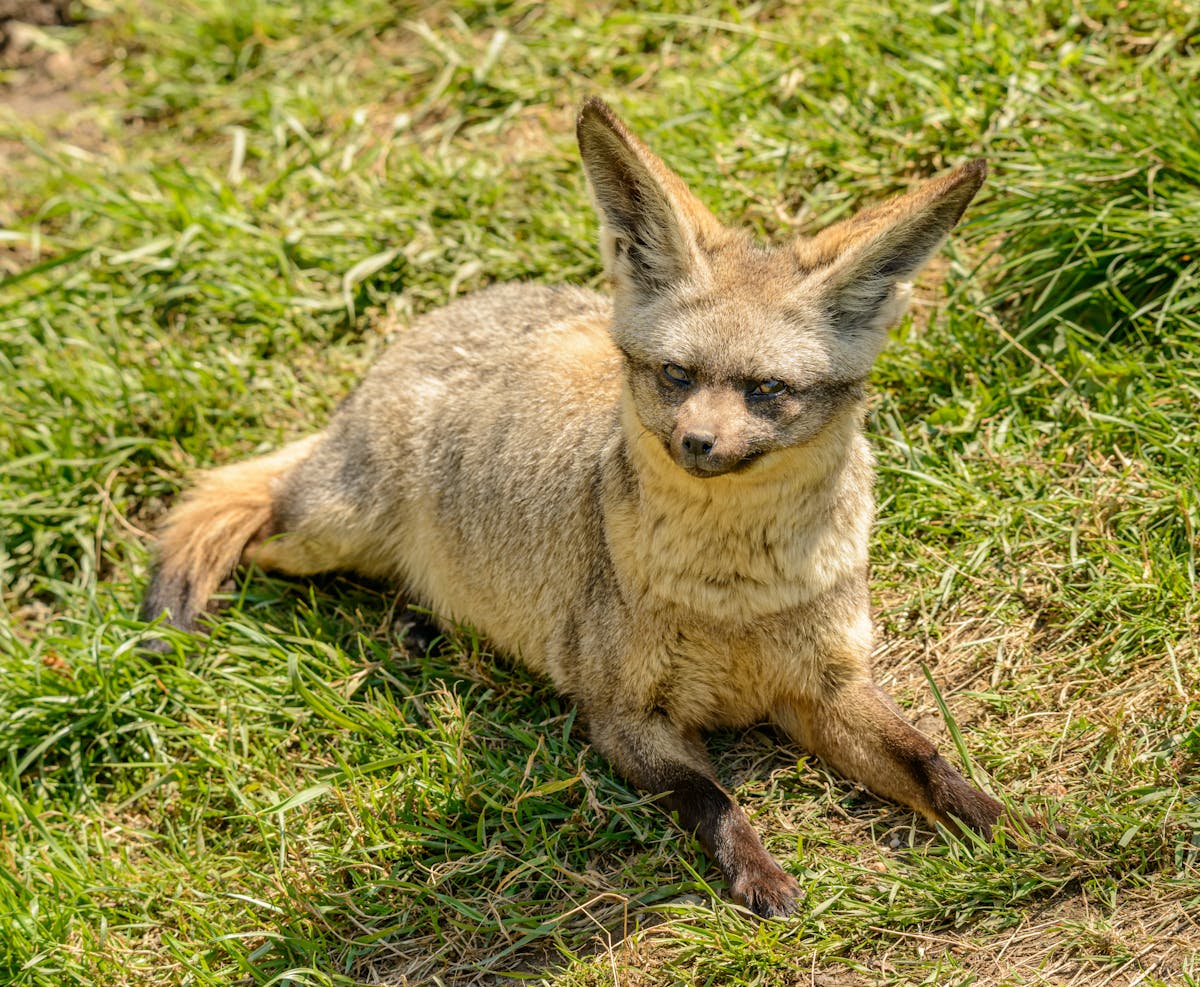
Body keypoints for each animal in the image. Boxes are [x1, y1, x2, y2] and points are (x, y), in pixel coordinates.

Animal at [141, 97, 1006, 917]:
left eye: (767, 390)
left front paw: (1013, 829)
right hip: (323, 531)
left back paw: (422, 616)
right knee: (258, 525)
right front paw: (760, 877)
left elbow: (928, 761)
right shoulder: (622, 716)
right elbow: (715, 800)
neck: (733, 601)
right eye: (676, 374)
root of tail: (415, 335)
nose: (697, 442)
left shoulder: (824, 686)